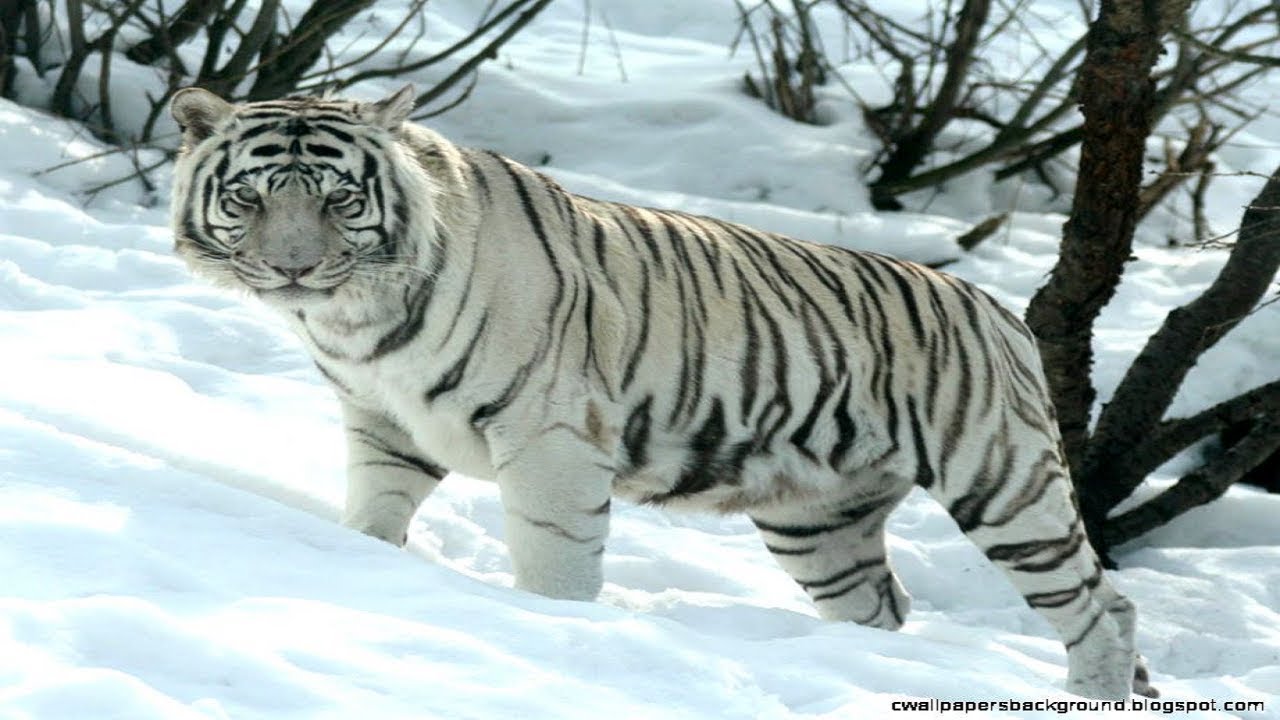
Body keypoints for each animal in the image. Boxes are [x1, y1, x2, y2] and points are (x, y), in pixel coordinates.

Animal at [169, 85, 1155, 700]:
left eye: (339, 200)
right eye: (252, 198)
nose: (294, 267)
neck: (355, 319)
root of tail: (996, 306)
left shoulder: (551, 440)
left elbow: (557, 561)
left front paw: (551, 629)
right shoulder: (385, 423)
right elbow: (372, 517)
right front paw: (363, 564)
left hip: (1003, 482)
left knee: (1103, 609)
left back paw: (1092, 688)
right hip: (819, 522)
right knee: (881, 610)